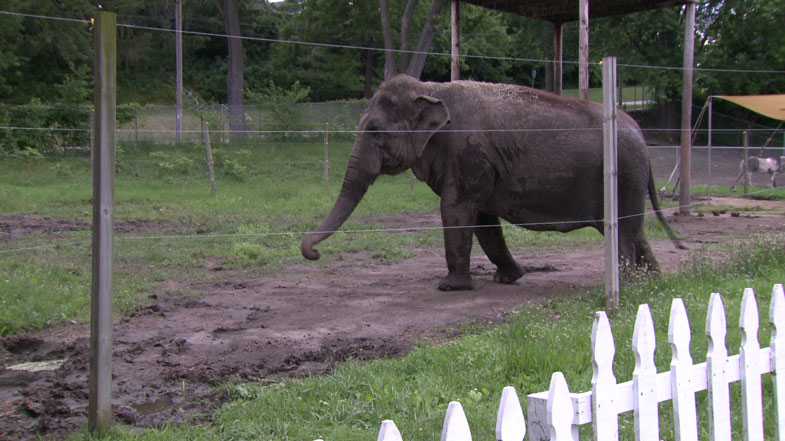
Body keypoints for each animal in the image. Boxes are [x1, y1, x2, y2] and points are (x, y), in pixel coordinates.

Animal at [301, 75, 685, 291]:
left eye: (375, 131)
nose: (313, 253)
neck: (430, 89)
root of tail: (640, 132)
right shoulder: (478, 167)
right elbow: (483, 219)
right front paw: (508, 278)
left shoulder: (466, 154)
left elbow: (455, 211)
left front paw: (449, 287)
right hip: (629, 179)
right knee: (633, 229)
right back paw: (652, 281)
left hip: (624, 175)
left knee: (624, 230)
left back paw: (630, 283)